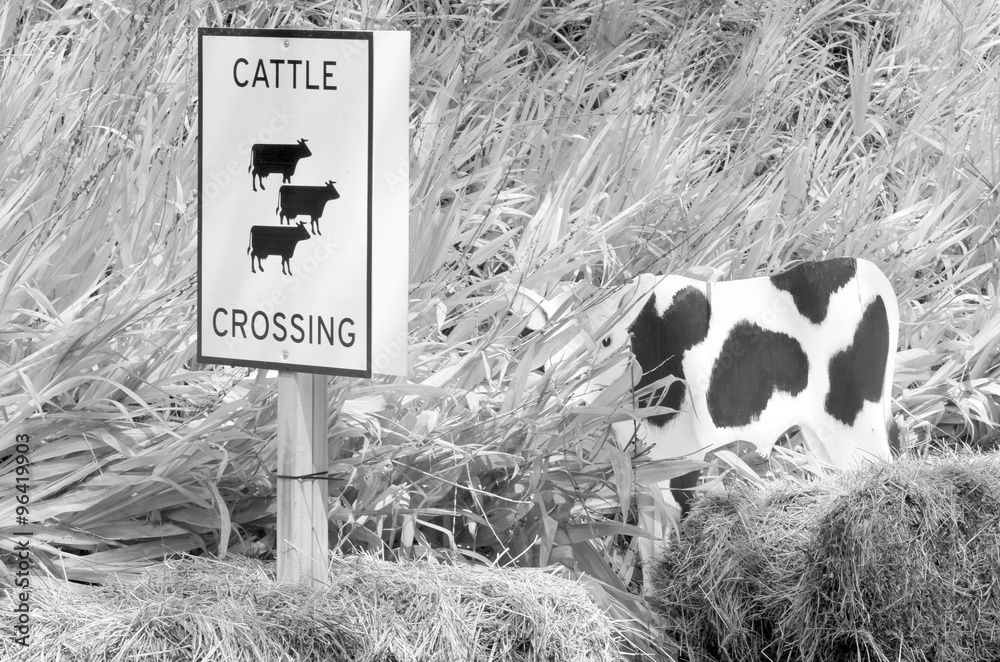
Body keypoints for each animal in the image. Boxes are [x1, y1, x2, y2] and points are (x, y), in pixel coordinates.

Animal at [546, 258, 899, 572]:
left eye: (606, 340)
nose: (558, 390)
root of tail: (866, 269)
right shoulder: (642, 462)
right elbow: (647, 542)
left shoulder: (681, 454)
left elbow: (670, 534)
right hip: (822, 432)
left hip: (855, 423)